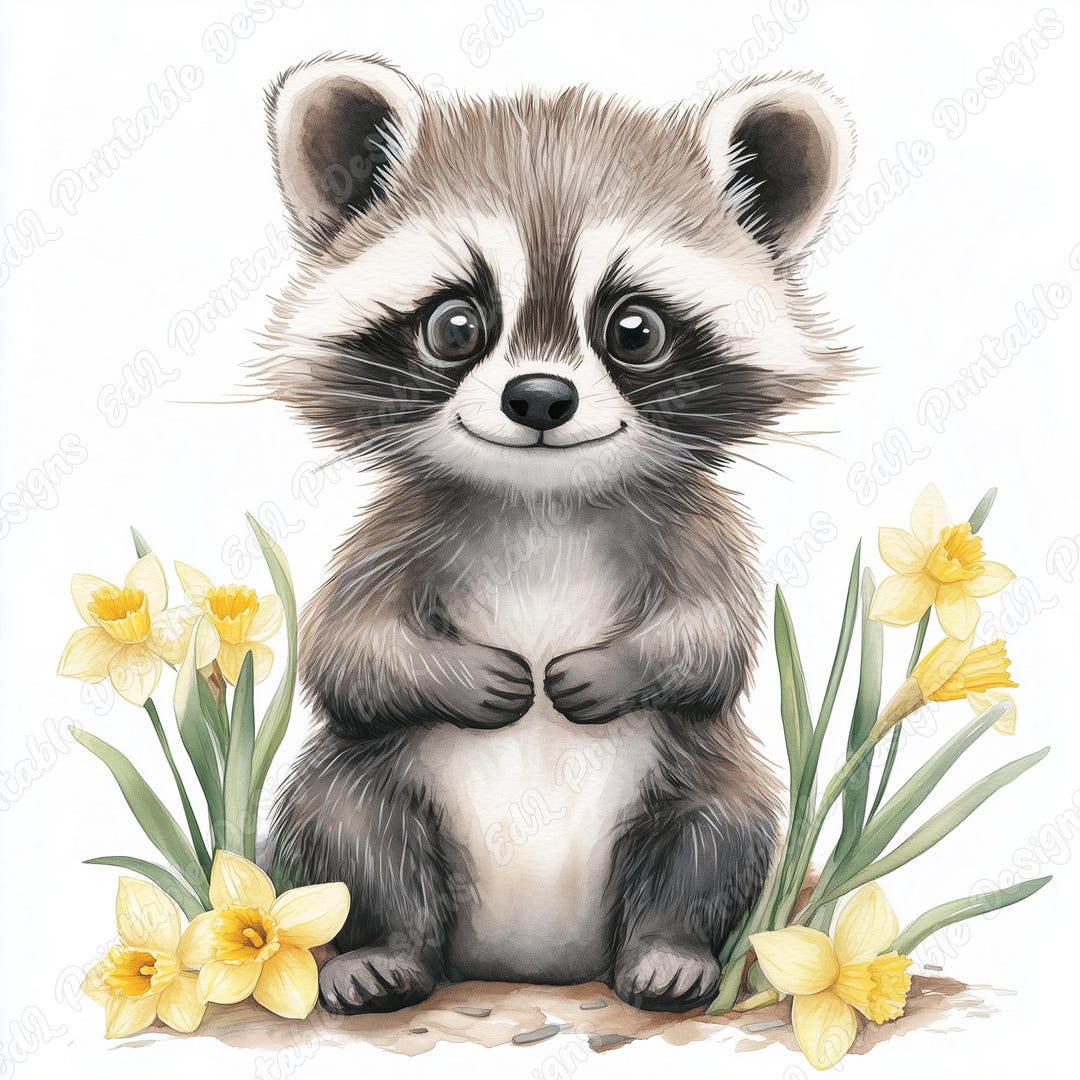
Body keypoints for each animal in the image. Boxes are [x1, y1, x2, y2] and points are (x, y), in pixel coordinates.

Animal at [262, 53, 854, 1014]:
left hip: (691, 777)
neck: (542, 503)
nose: (539, 398)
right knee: (347, 825)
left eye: (634, 329)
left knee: (717, 829)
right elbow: (347, 652)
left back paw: (670, 949)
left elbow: (712, 643)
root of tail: (530, 960)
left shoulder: (695, 528)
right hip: (379, 794)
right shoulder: (395, 531)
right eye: (456, 325)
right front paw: (464, 674)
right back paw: (383, 951)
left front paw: (612, 668)